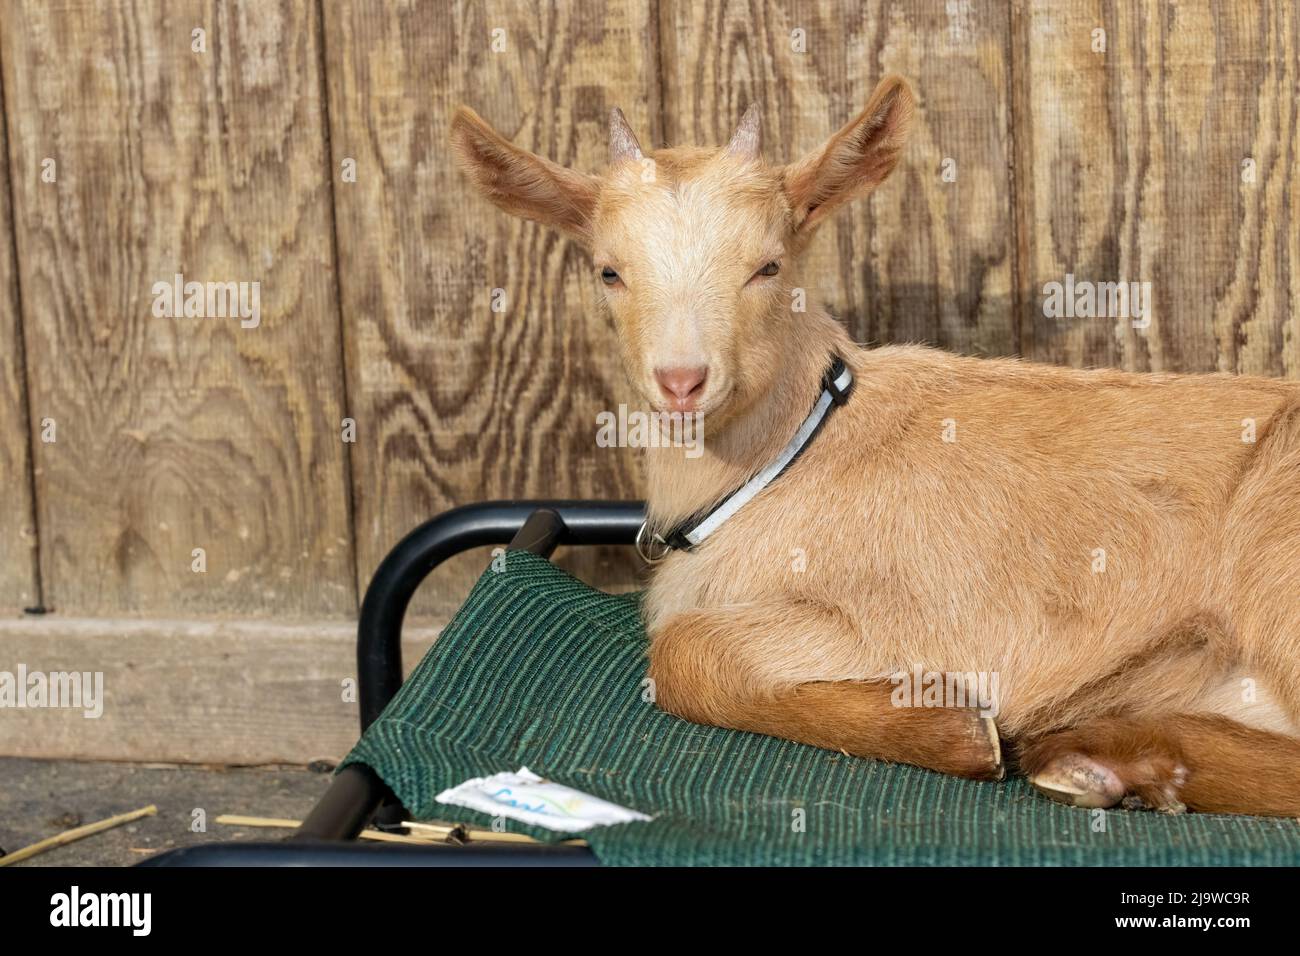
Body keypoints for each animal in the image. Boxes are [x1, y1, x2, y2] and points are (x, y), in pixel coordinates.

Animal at [452, 76, 1300, 817]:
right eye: (609, 272)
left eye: (768, 266)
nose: (682, 380)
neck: (784, 460)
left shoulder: (930, 621)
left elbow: (680, 653)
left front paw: (952, 729)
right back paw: (1107, 762)